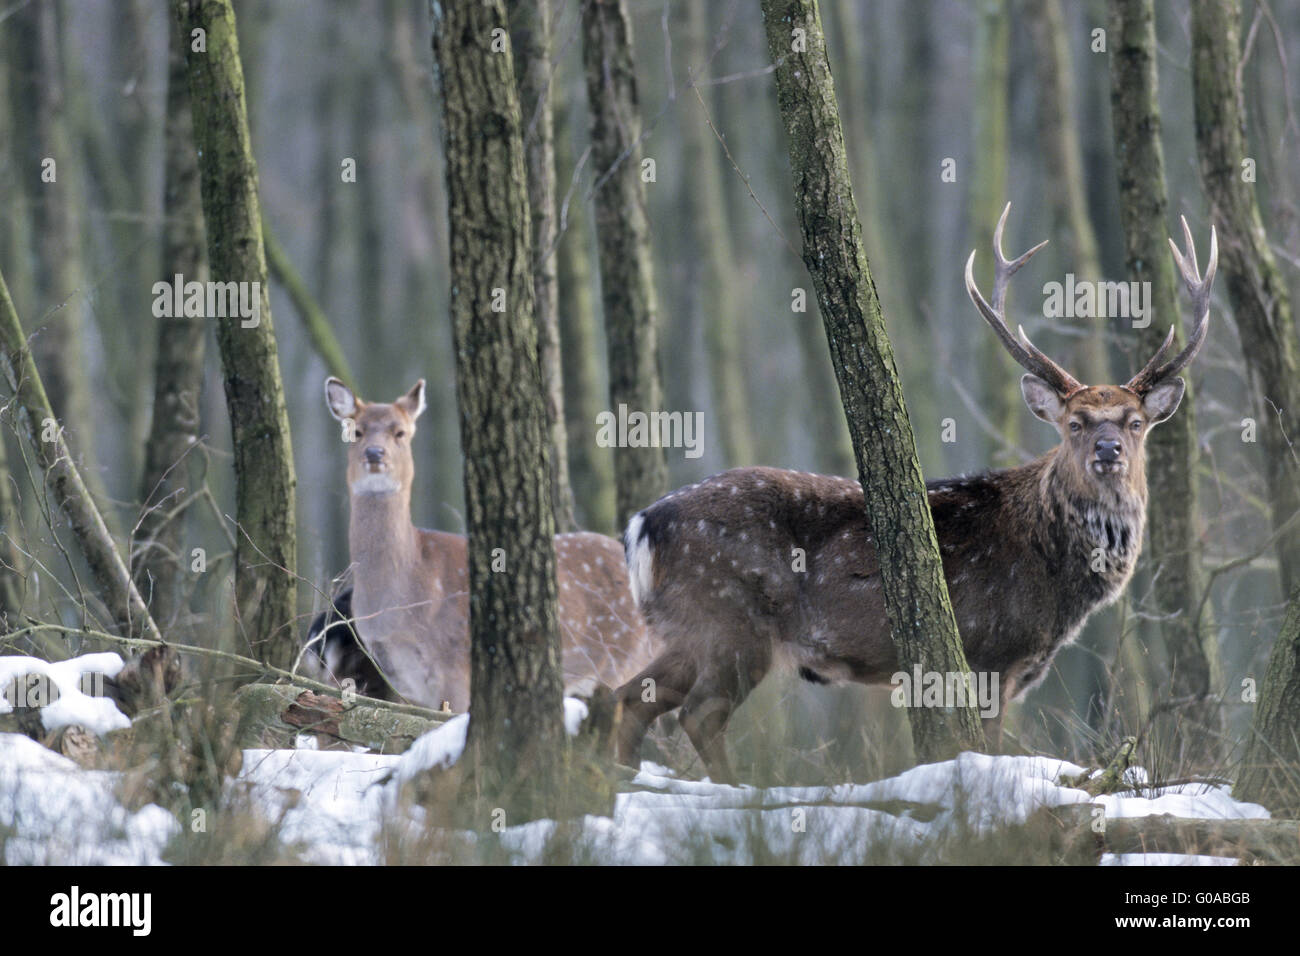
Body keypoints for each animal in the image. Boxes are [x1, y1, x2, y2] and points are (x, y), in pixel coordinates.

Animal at [313, 377, 656, 712]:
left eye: (400, 432)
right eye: (356, 431)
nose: (374, 454)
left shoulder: (456, 667)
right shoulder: (403, 683)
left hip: (627, 658)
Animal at [615, 206, 1217, 783]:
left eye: (1135, 422)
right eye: (1075, 423)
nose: (1108, 450)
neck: (1055, 576)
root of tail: (643, 524)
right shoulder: (990, 655)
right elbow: (984, 746)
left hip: (685, 627)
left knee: (630, 699)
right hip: (729, 620)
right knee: (698, 712)